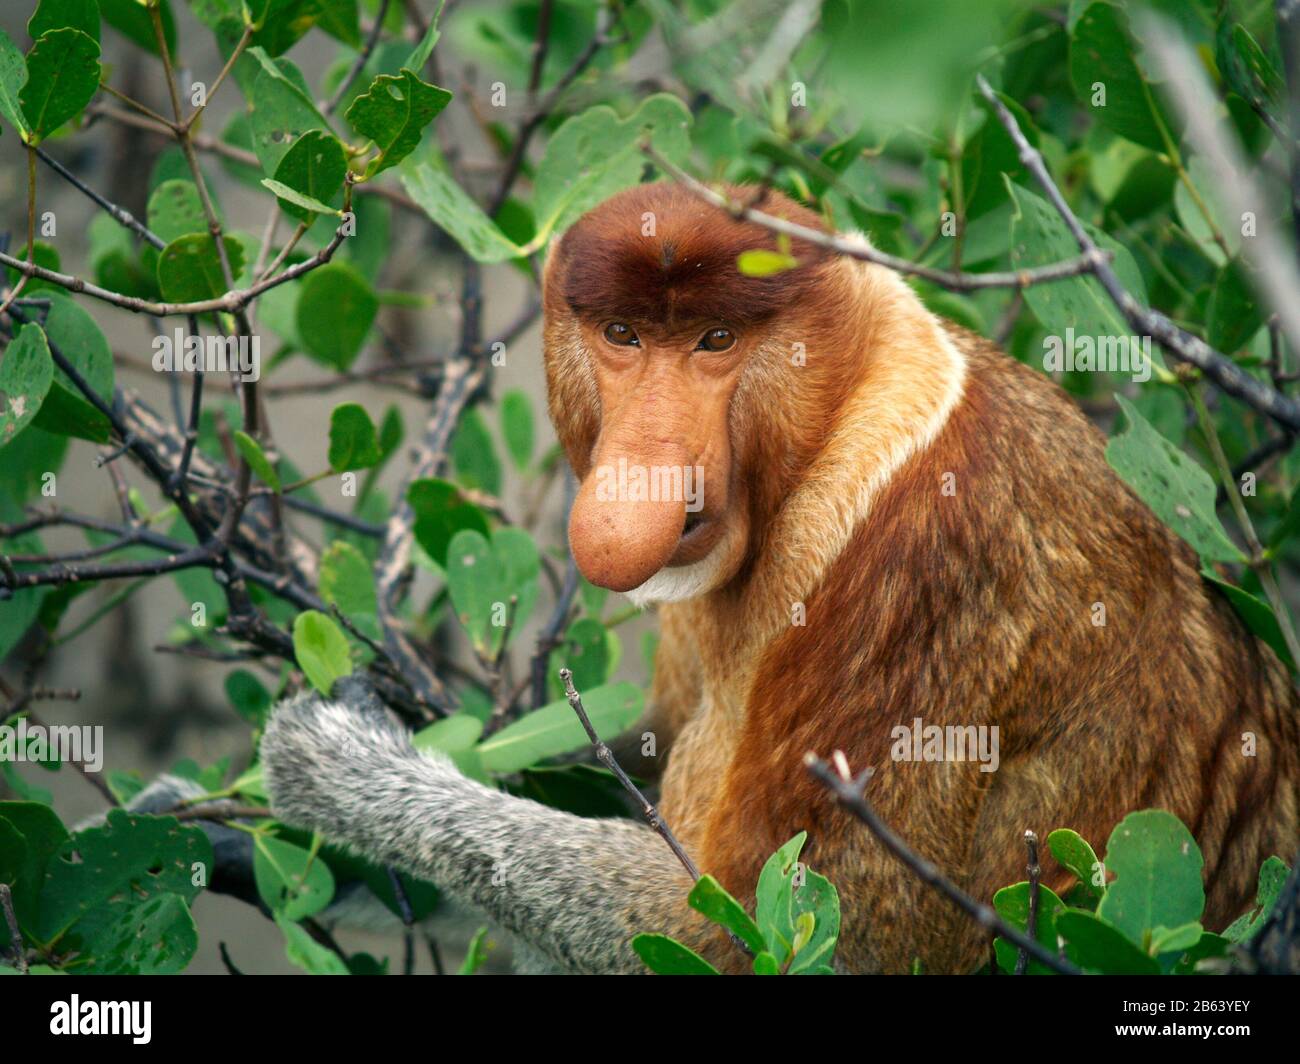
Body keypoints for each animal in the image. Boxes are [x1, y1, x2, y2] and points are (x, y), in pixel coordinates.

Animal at [261, 181, 1300, 974]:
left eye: (717, 341)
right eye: (624, 334)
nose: (645, 470)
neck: (835, 428)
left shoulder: (920, 571)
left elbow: (778, 928)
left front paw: (335, 765)